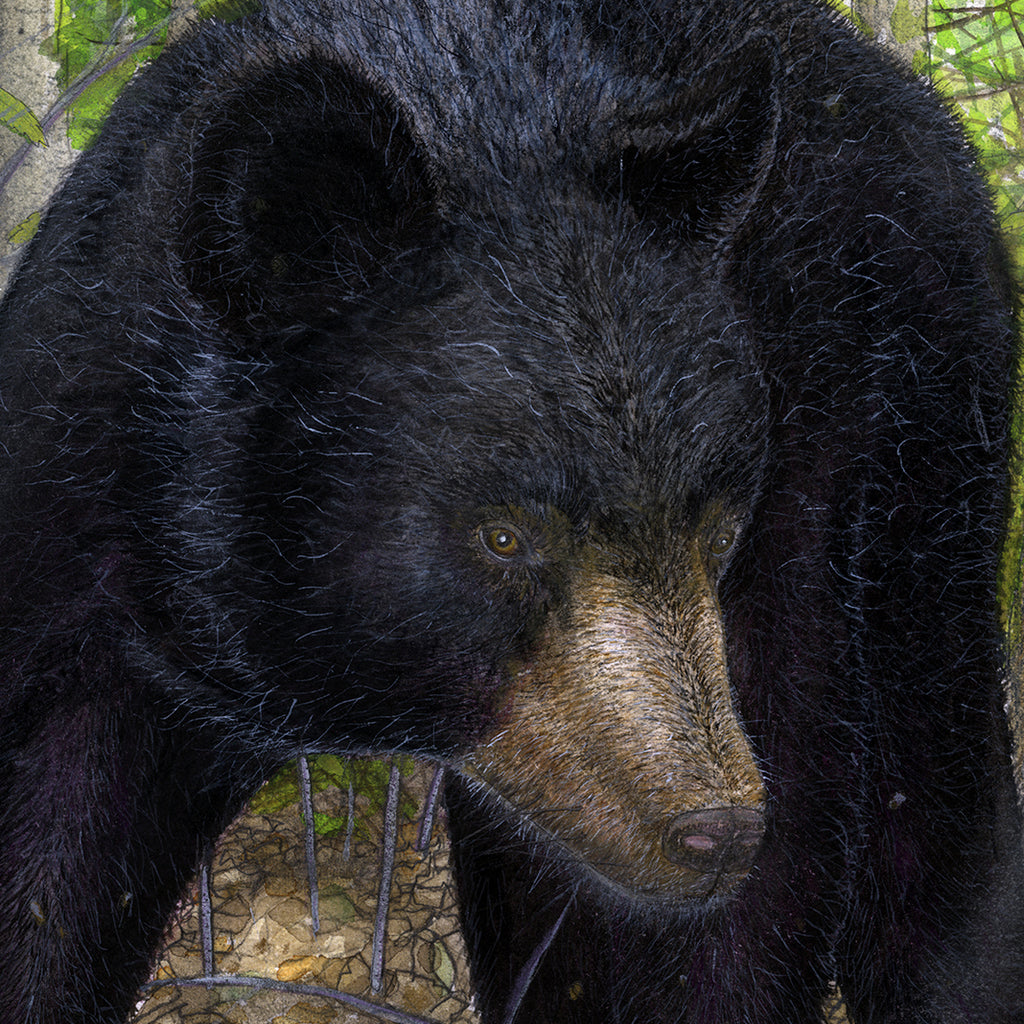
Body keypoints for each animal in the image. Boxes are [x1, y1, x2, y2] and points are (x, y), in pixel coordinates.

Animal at [0, 0, 1021, 1021]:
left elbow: (750, 884)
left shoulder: (798, 504)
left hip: (923, 457)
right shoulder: (92, 553)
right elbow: (48, 840)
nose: (714, 829)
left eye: (716, 526)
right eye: (504, 537)